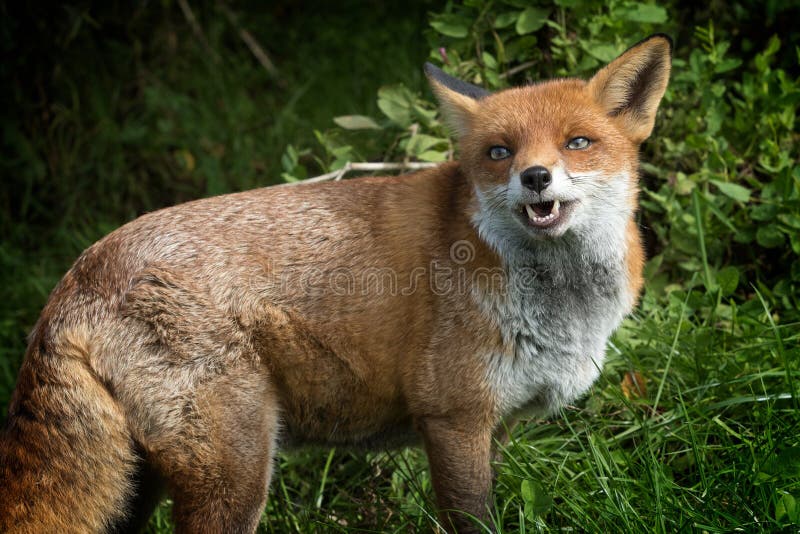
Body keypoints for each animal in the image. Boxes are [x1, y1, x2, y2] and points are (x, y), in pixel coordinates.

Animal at [0, 34, 671, 533]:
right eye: (500, 152)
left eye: (577, 142)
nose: (535, 177)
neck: (557, 301)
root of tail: (76, 278)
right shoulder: (452, 417)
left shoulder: (494, 425)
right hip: (235, 476)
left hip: (139, 487)